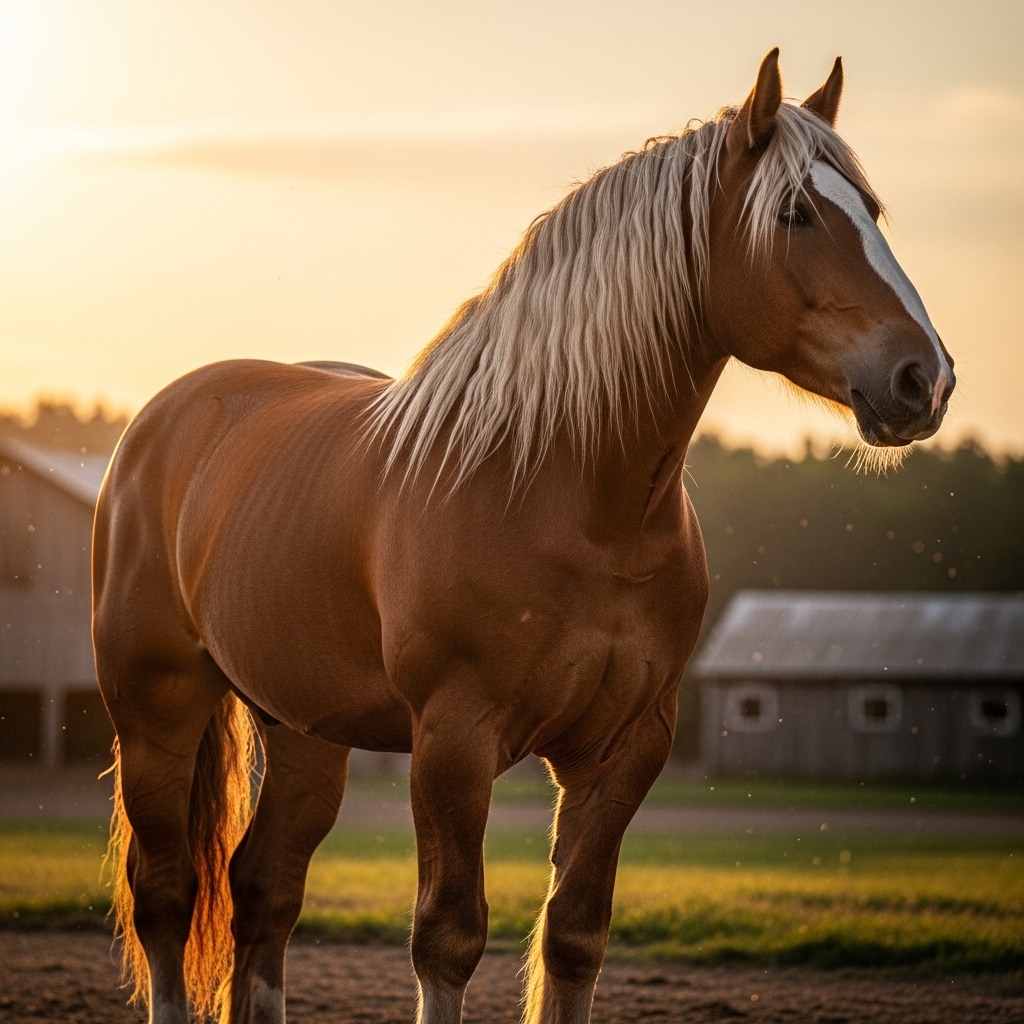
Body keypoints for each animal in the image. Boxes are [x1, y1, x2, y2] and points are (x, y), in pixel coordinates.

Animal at [93, 48, 954, 1024]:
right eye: (795, 213)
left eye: (871, 212)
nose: (925, 378)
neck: (568, 500)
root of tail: (167, 418)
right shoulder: (454, 742)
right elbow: (448, 939)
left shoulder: (623, 749)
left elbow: (575, 935)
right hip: (156, 714)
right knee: (166, 893)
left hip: (308, 731)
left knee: (263, 887)